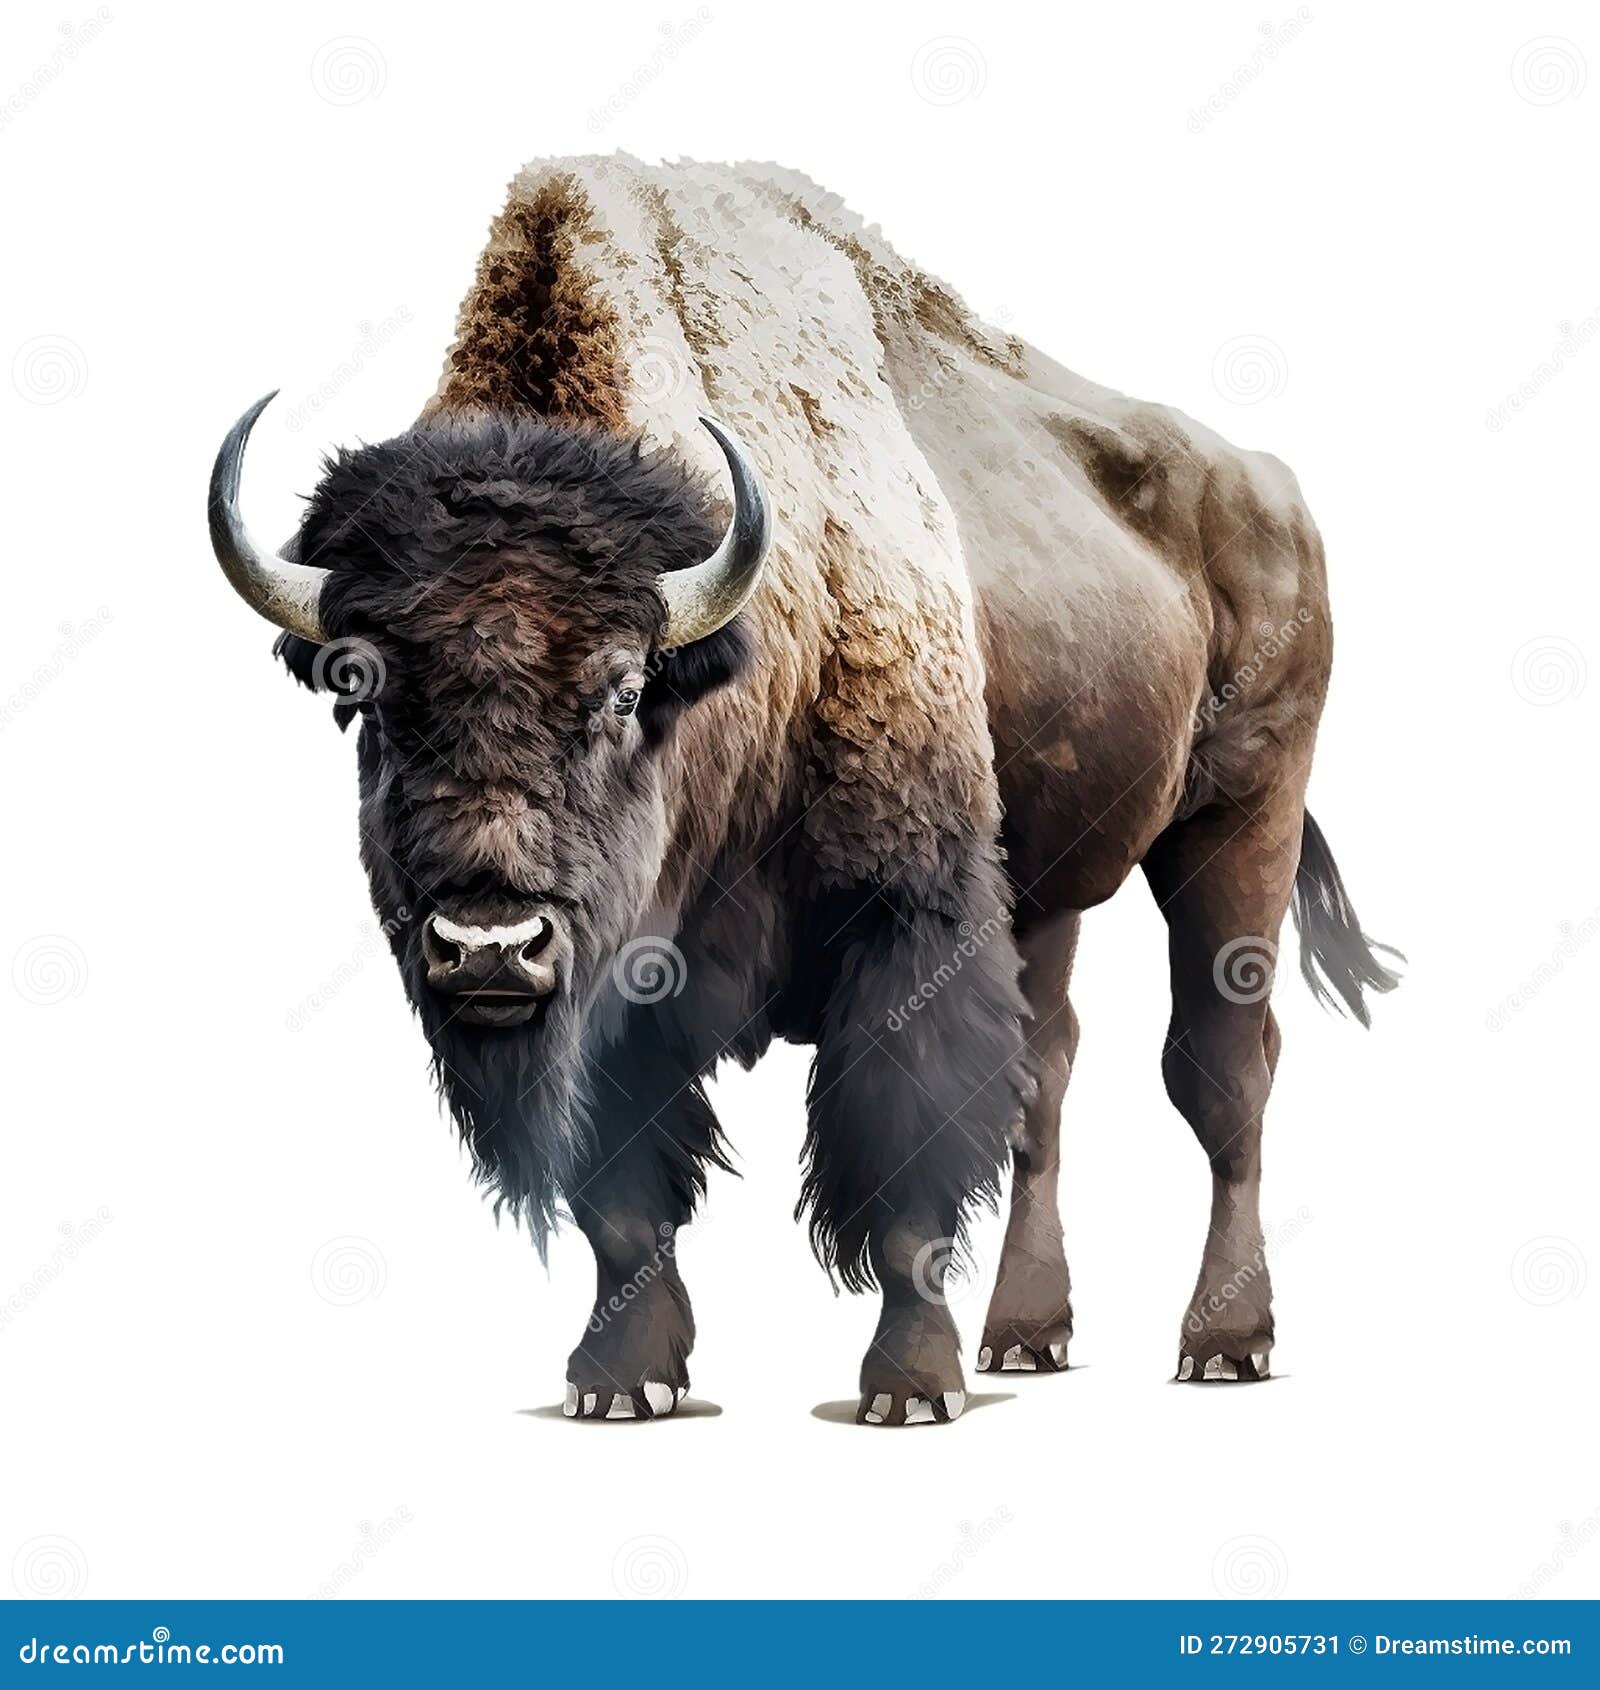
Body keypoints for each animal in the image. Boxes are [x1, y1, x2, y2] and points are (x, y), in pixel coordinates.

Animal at [208, 156, 1396, 1424]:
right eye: (365, 692)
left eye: (625, 686)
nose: (488, 945)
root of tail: (1272, 490)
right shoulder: (626, 988)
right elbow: (621, 1200)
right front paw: (620, 1382)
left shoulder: (907, 924)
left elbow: (903, 1168)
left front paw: (908, 1387)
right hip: (1048, 891)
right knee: (1052, 1071)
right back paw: (1027, 1334)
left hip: (1239, 824)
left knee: (1222, 1072)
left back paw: (1224, 1340)